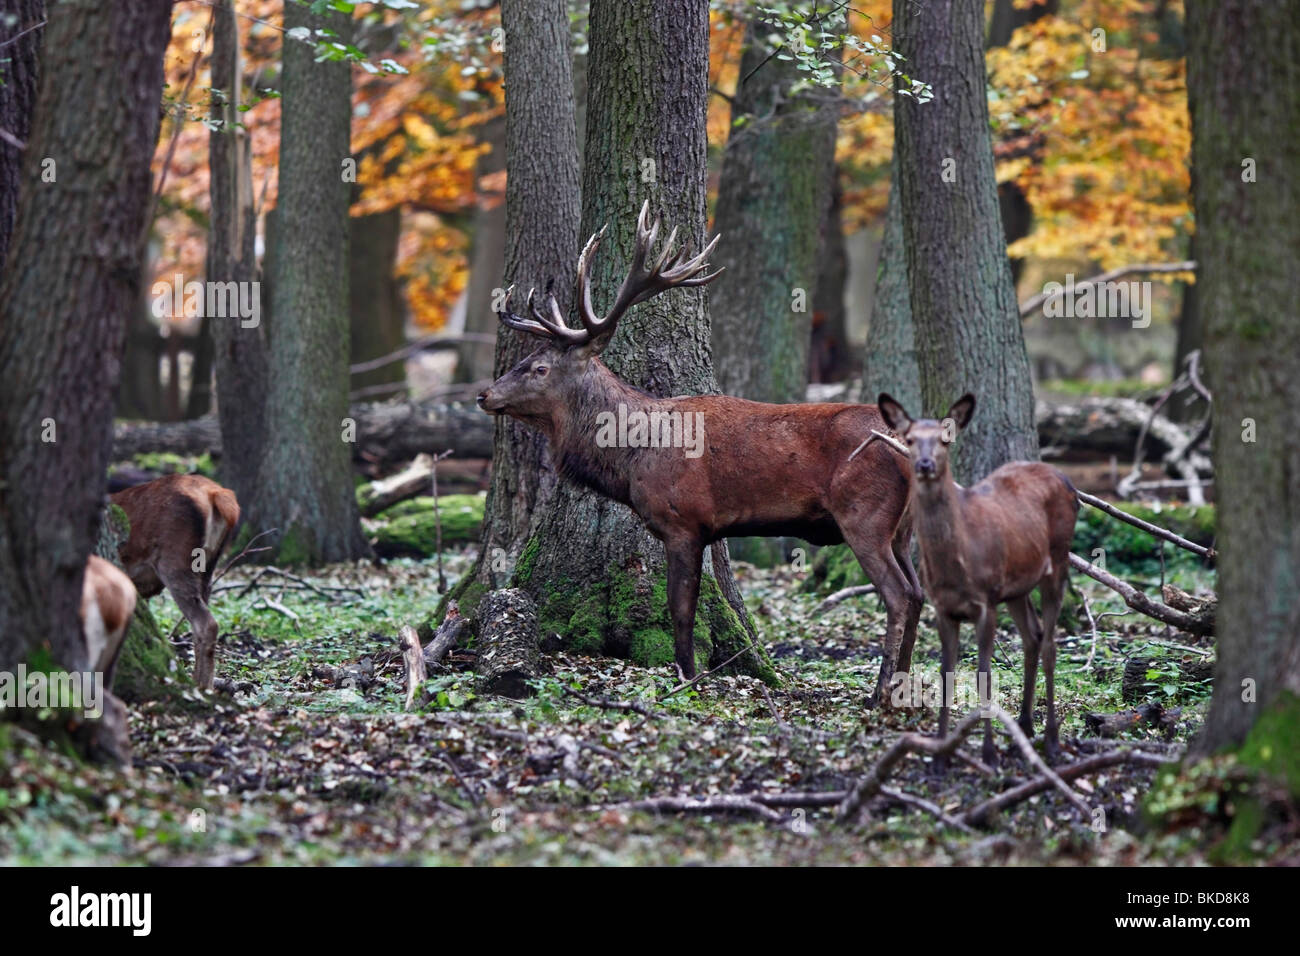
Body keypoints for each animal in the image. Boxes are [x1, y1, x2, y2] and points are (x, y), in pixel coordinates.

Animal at [477, 201, 923, 697]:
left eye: (538, 368)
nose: (484, 395)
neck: (632, 458)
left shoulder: (683, 521)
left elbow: (680, 608)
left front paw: (686, 678)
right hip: (902, 525)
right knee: (920, 594)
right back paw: (906, 687)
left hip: (865, 515)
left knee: (900, 595)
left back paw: (881, 694)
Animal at [877, 393, 1079, 766]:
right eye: (909, 440)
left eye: (944, 440)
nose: (924, 464)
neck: (958, 563)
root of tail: (1067, 480)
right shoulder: (944, 608)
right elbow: (947, 673)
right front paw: (941, 753)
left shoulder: (986, 601)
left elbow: (985, 675)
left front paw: (987, 752)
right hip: (1015, 587)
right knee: (1032, 636)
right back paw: (1024, 727)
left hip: (1057, 561)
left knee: (1049, 644)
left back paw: (1052, 740)